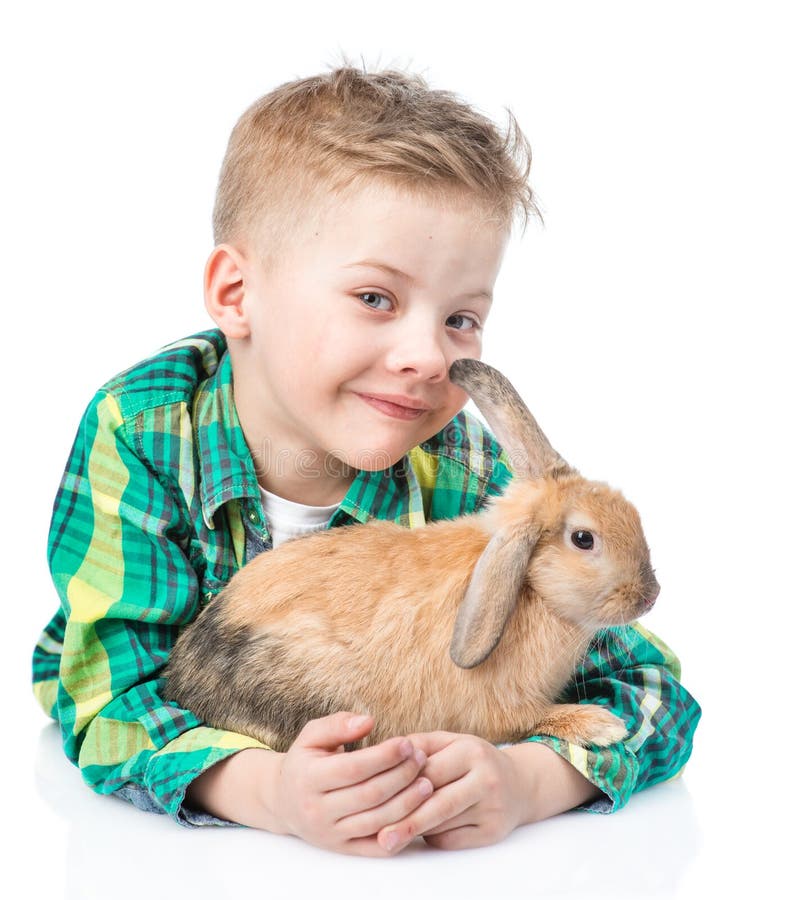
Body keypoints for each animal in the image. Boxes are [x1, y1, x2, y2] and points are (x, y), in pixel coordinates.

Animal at [163, 358, 660, 752]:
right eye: (583, 539)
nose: (650, 596)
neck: (526, 587)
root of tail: (184, 678)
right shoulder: (499, 711)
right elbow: (531, 719)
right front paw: (602, 726)